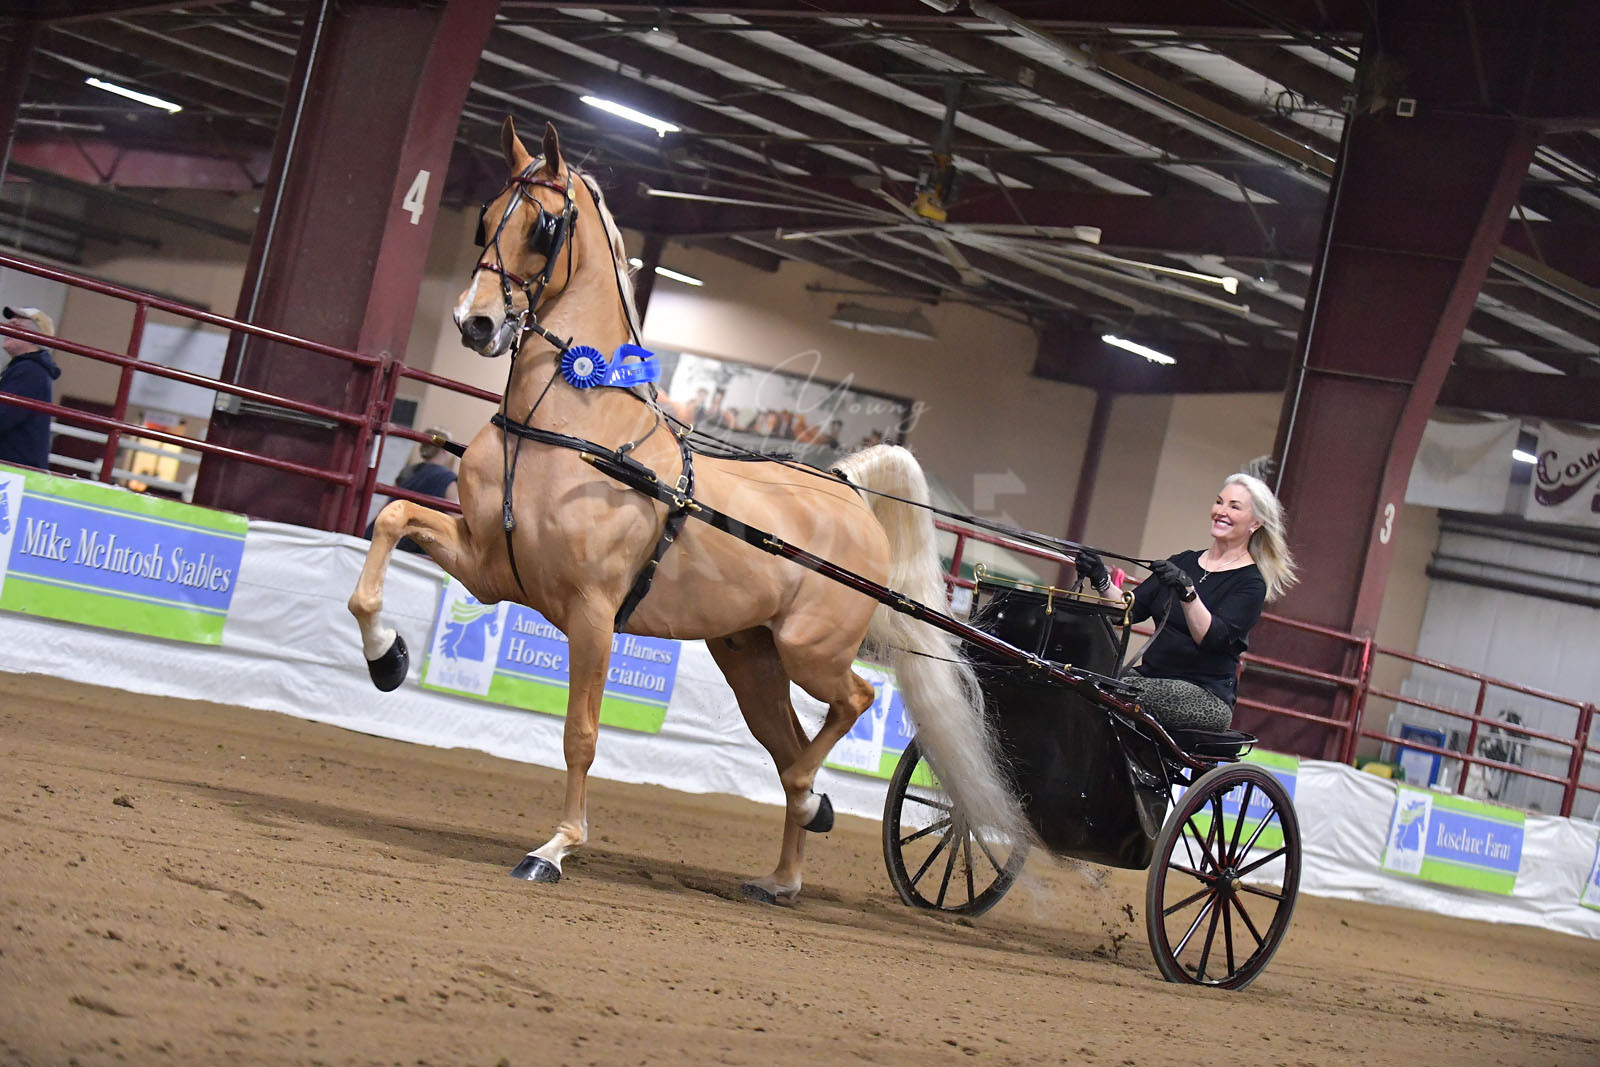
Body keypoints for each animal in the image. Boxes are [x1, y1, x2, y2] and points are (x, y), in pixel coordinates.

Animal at [348, 117, 1027, 903]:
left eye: (545, 227)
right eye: (486, 219)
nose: (475, 323)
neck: (567, 427)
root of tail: (843, 484)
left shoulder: (591, 612)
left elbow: (580, 733)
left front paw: (555, 846)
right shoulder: (491, 568)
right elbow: (390, 522)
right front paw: (387, 657)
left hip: (811, 650)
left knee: (849, 706)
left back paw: (813, 803)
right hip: (751, 660)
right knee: (791, 743)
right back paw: (784, 873)